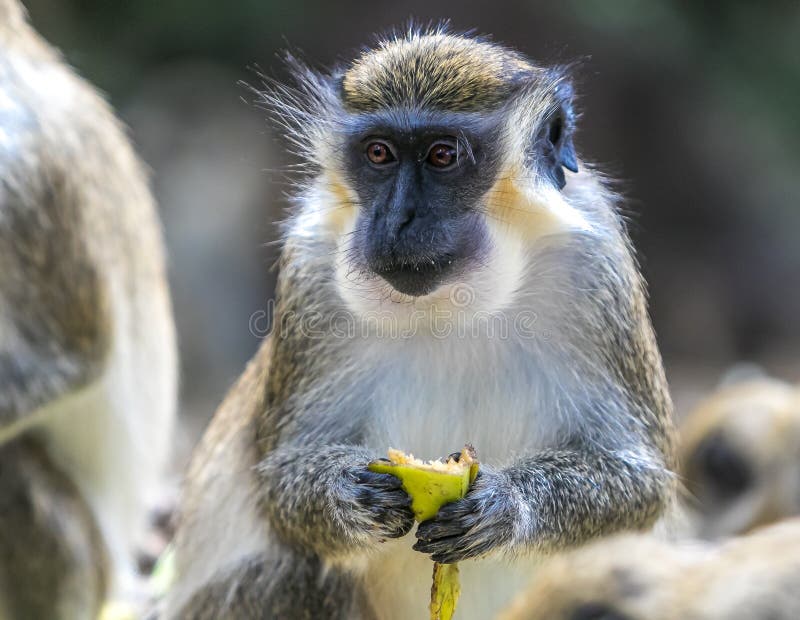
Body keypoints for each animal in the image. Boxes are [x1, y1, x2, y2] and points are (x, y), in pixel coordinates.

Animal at [164, 26, 676, 619]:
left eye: (442, 155)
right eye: (379, 153)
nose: (396, 220)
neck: (450, 305)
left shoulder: (597, 269)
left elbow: (638, 482)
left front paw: (507, 505)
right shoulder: (310, 269)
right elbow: (280, 478)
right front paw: (350, 497)